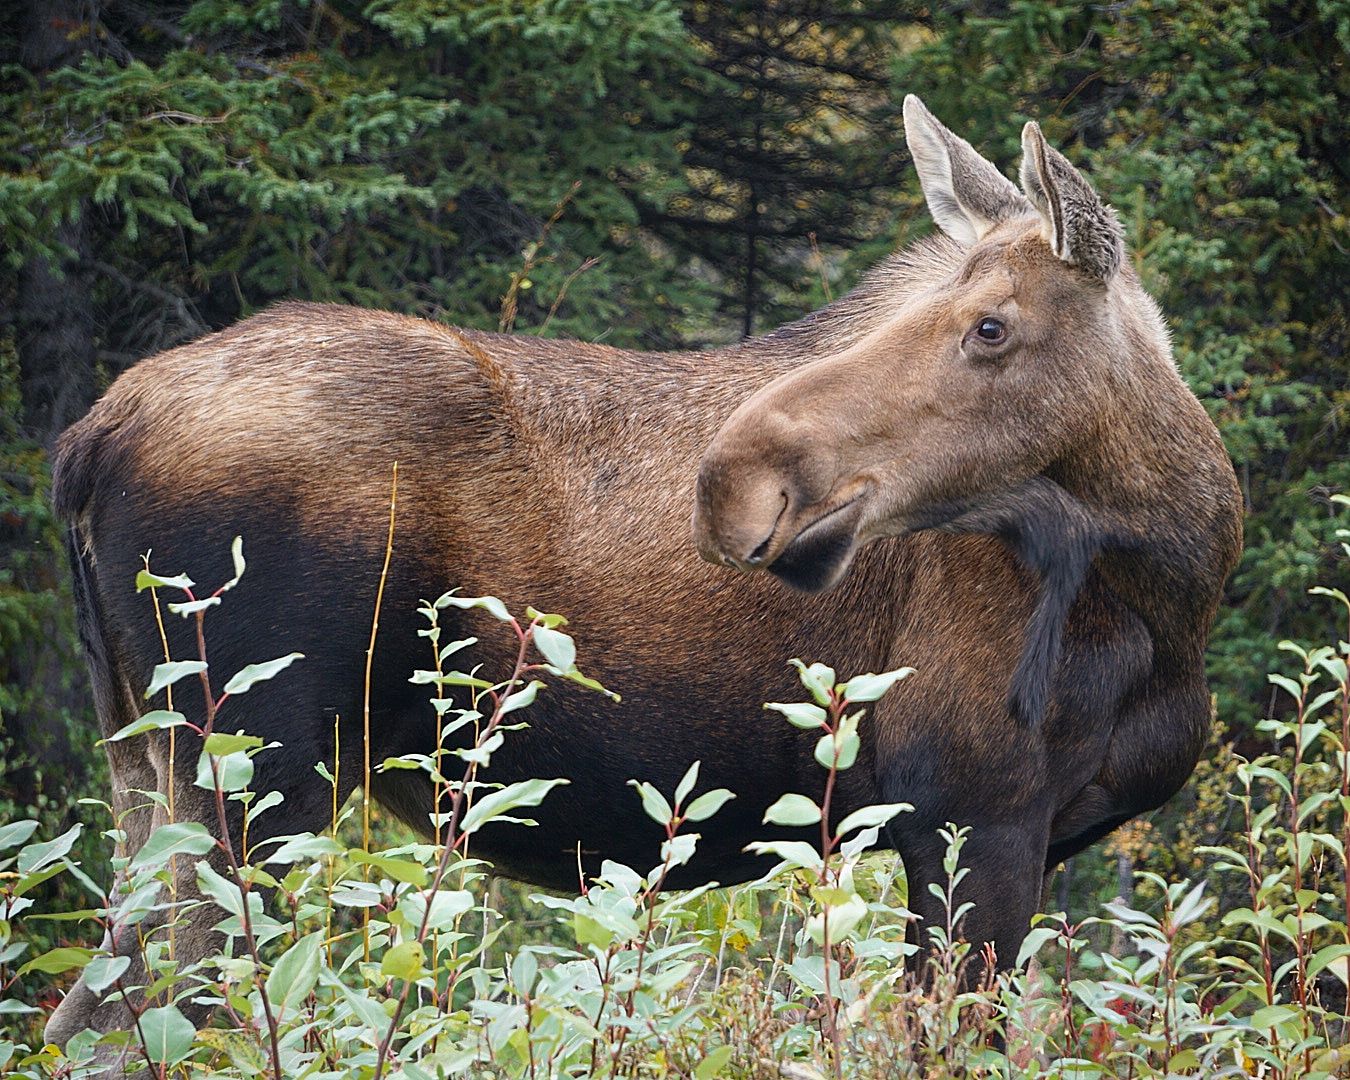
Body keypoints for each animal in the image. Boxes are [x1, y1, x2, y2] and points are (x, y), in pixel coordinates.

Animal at [45, 97, 1241, 1063]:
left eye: (990, 324)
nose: (732, 479)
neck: (1174, 582)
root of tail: (87, 441)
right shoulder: (971, 816)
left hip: (146, 768)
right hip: (251, 775)